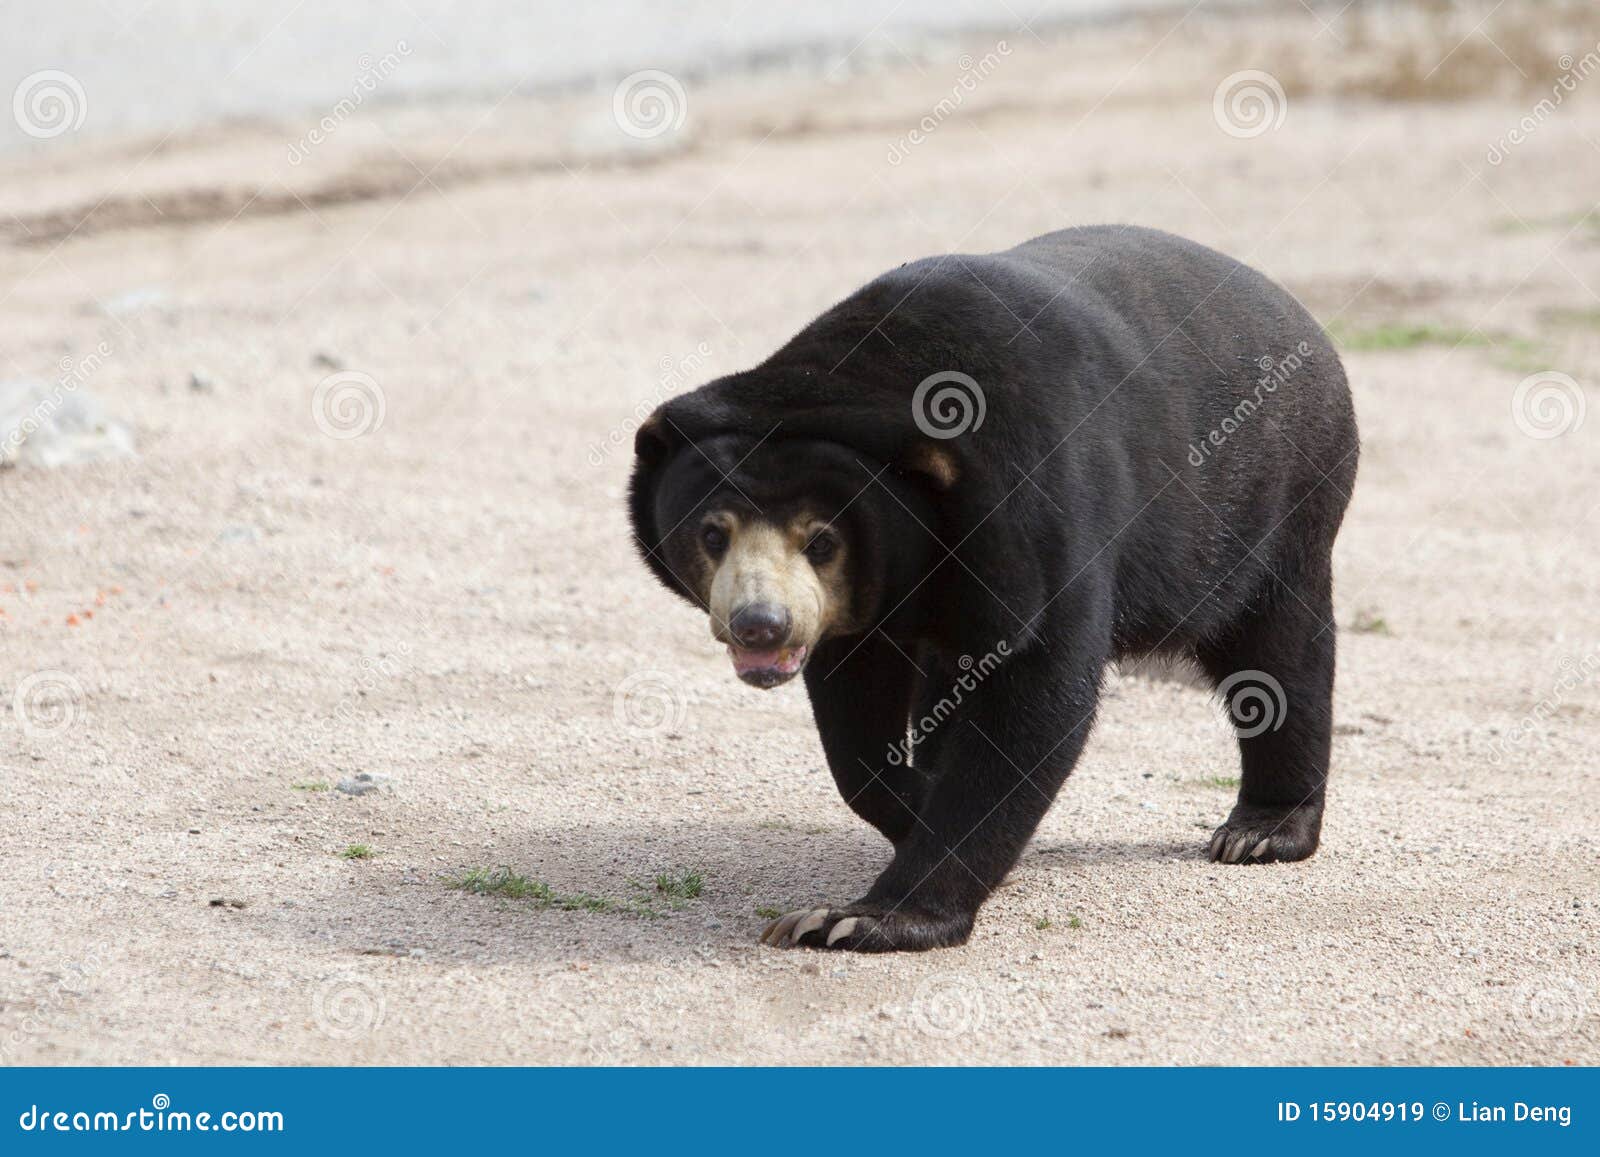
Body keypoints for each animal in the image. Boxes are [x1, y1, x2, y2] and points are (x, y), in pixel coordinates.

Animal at [628, 225, 1359, 952]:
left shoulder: (1034, 513)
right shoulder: (864, 607)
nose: (761, 624)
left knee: (1277, 656)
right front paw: (917, 810)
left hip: (1278, 503)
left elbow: (1034, 696)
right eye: (712, 533)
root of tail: (1302, 319)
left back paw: (1261, 831)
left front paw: (858, 917)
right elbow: (857, 724)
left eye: (822, 541)